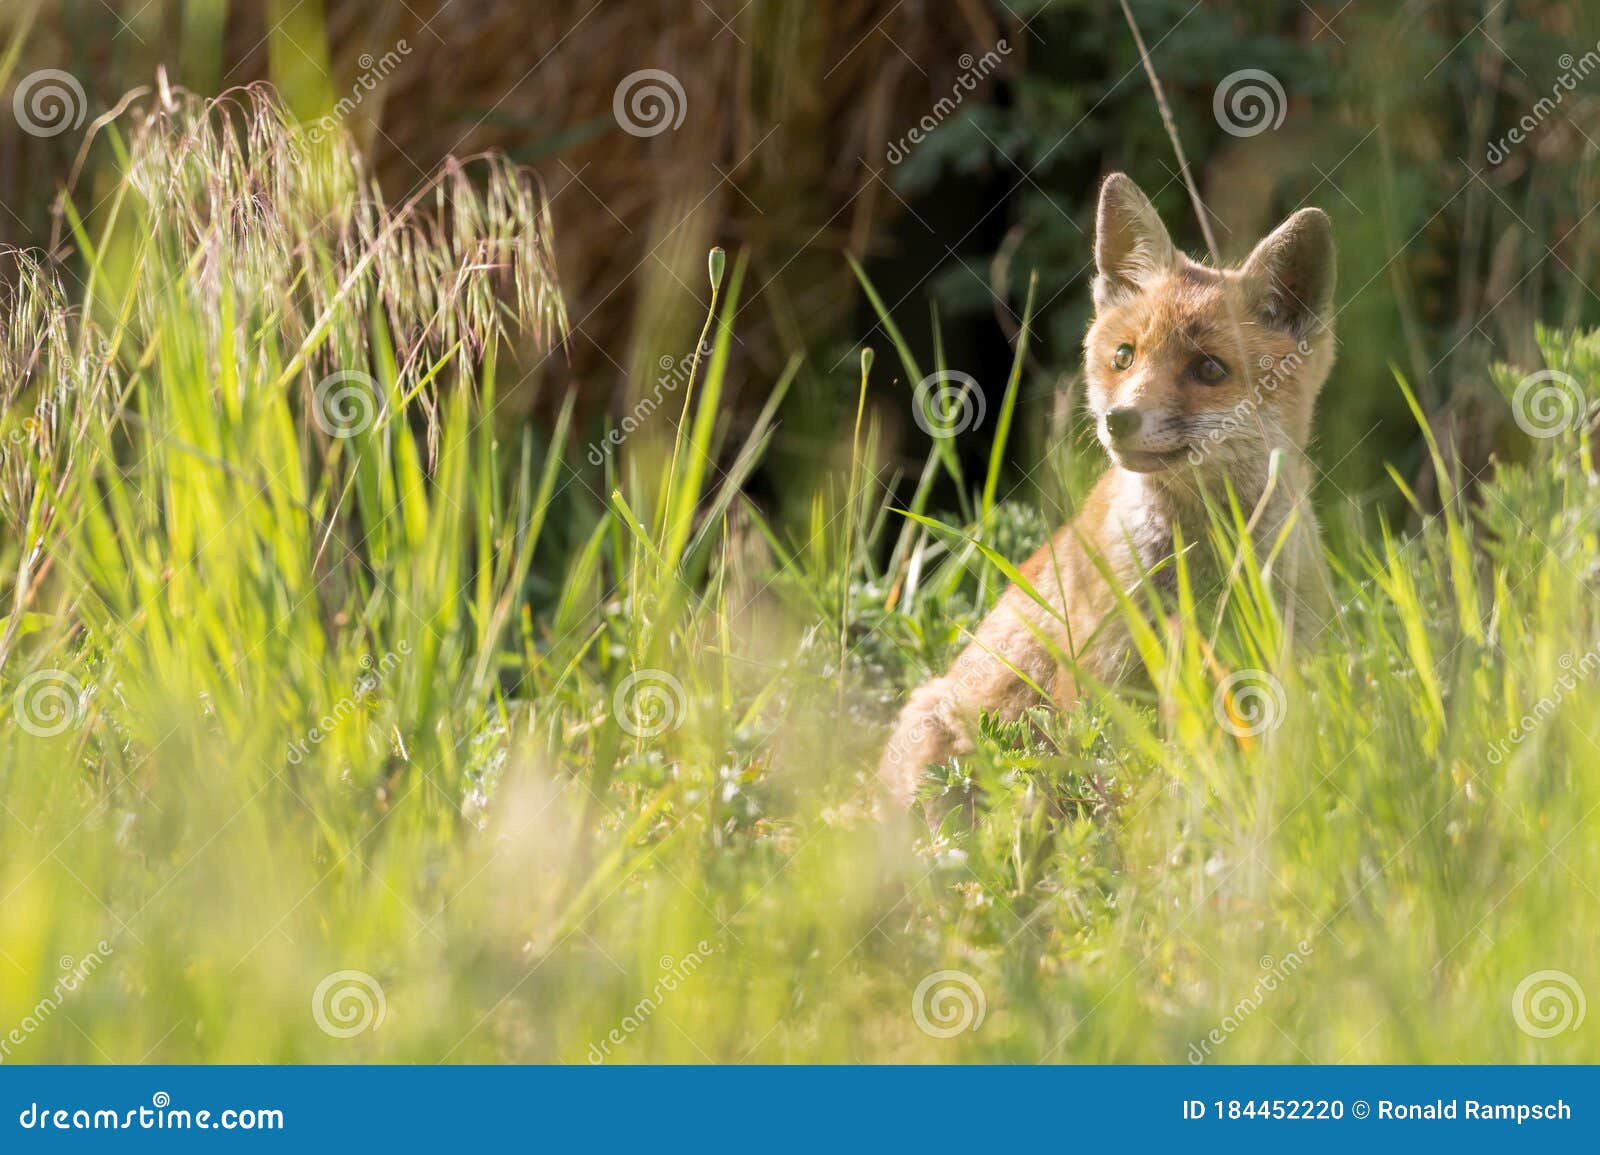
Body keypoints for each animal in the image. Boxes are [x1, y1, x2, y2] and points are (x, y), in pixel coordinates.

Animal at [878, 172, 1337, 810]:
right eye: (1125, 356)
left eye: (1209, 370)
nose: (1119, 420)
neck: (1206, 565)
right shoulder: (1105, 682)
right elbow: (1122, 790)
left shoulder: (1286, 660)